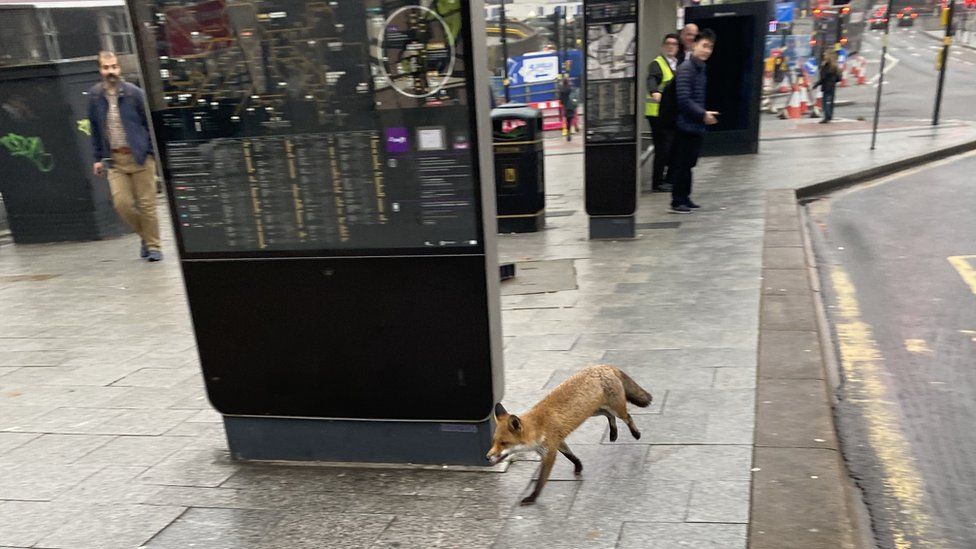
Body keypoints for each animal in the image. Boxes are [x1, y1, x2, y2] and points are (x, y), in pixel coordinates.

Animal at [486, 364, 653, 505]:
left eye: (503, 443)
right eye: (493, 441)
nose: (487, 457)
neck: (539, 427)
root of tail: (603, 366)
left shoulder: (550, 453)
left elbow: (541, 481)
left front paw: (532, 497)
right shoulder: (558, 442)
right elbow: (571, 456)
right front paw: (579, 467)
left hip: (616, 409)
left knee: (627, 417)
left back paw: (635, 433)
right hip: (596, 411)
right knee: (609, 416)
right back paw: (613, 433)